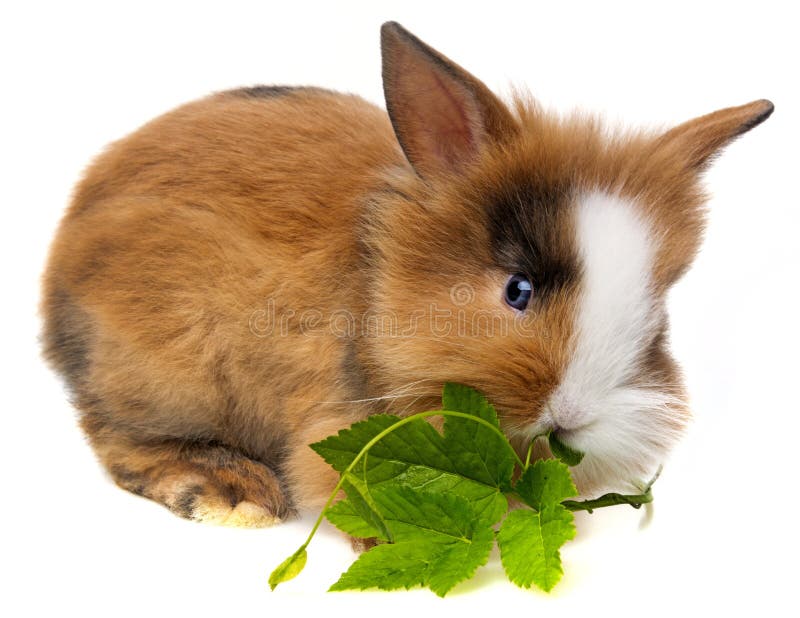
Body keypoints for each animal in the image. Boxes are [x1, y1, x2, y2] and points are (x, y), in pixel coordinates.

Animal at [41, 21, 772, 528]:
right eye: (518, 290)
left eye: (656, 318)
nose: (574, 417)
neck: (379, 283)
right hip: (169, 366)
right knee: (116, 435)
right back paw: (233, 494)